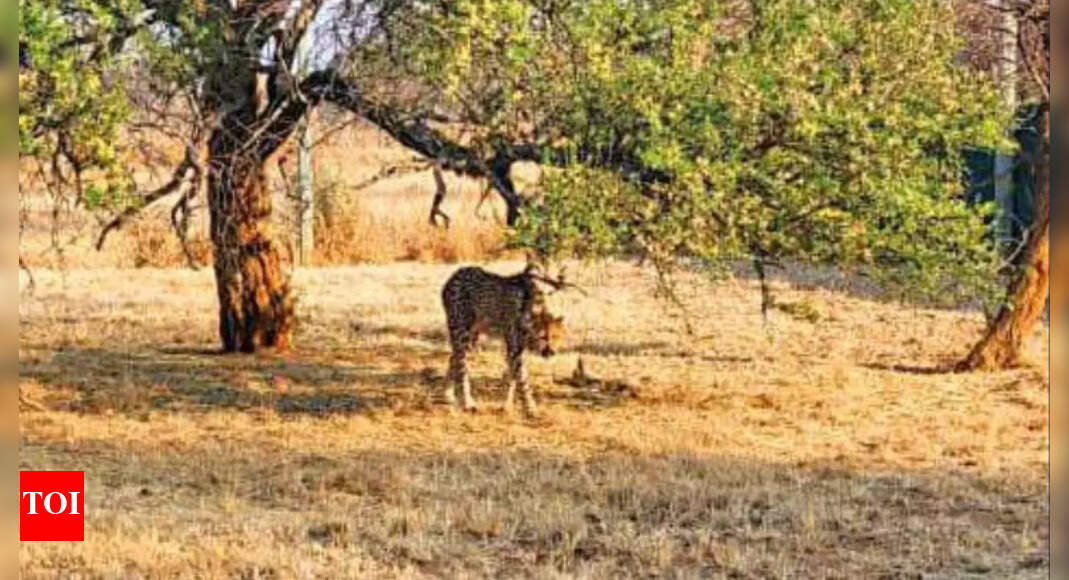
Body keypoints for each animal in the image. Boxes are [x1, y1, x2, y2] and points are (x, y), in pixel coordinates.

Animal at [441, 265, 565, 416]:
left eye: (556, 337)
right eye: (542, 337)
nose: (552, 352)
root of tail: (456, 273)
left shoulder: (517, 350)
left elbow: (513, 377)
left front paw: (507, 406)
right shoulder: (514, 349)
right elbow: (522, 380)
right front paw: (530, 408)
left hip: (472, 336)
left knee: (454, 359)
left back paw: (447, 394)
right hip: (462, 332)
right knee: (461, 366)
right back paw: (467, 403)